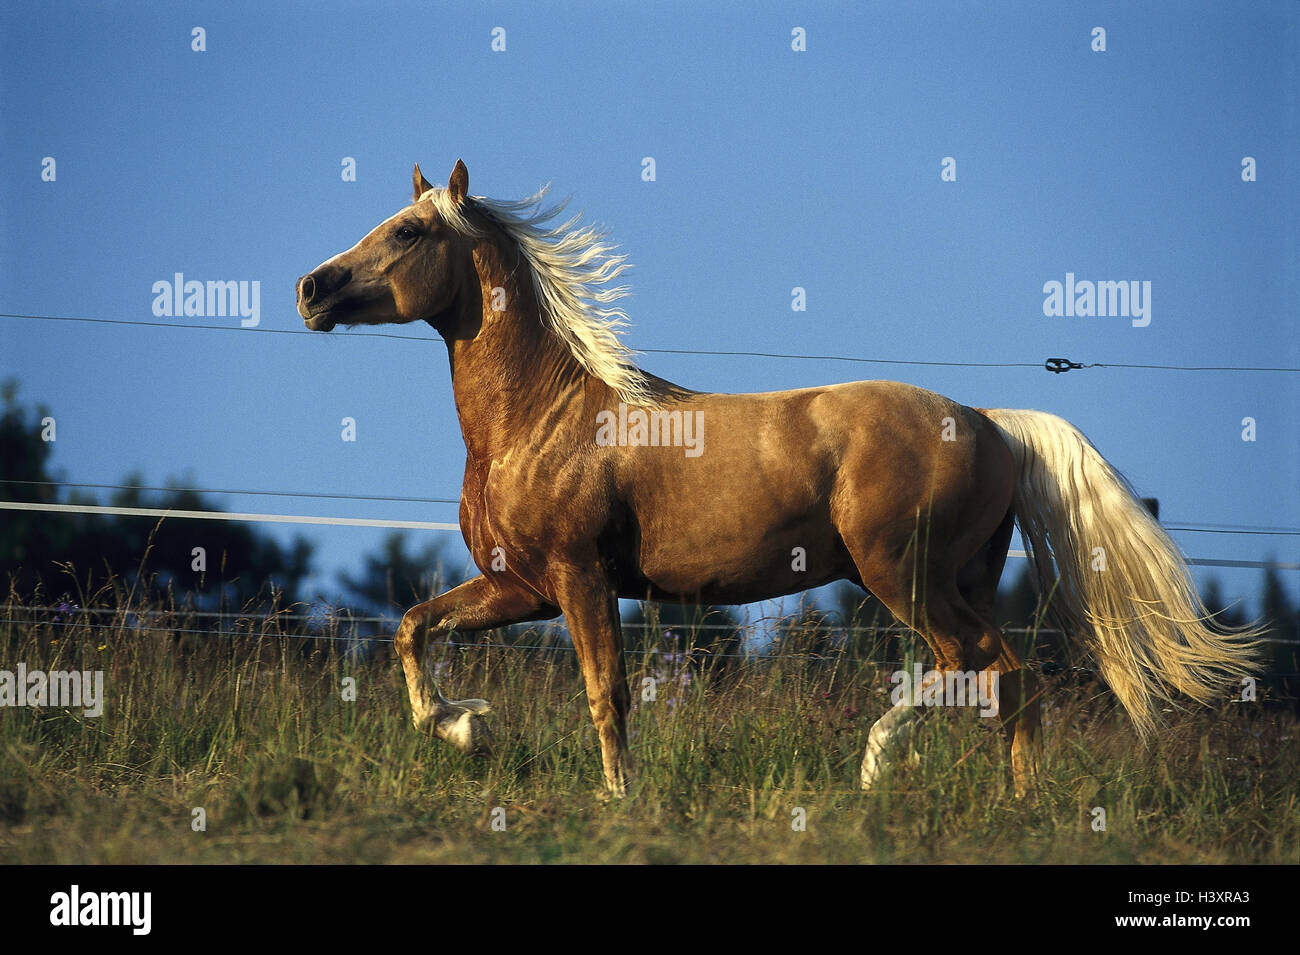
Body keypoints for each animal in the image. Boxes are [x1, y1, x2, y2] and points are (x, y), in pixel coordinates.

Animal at [296, 160, 1261, 797]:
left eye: (409, 231)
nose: (310, 289)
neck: (542, 417)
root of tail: (992, 422)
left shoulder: (579, 577)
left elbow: (606, 693)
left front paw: (614, 797)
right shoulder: (522, 587)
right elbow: (415, 628)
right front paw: (466, 727)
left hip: (900, 573)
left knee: (975, 663)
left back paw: (877, 764)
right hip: (961, 578)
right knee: (1005, 675)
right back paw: (1017, 802)